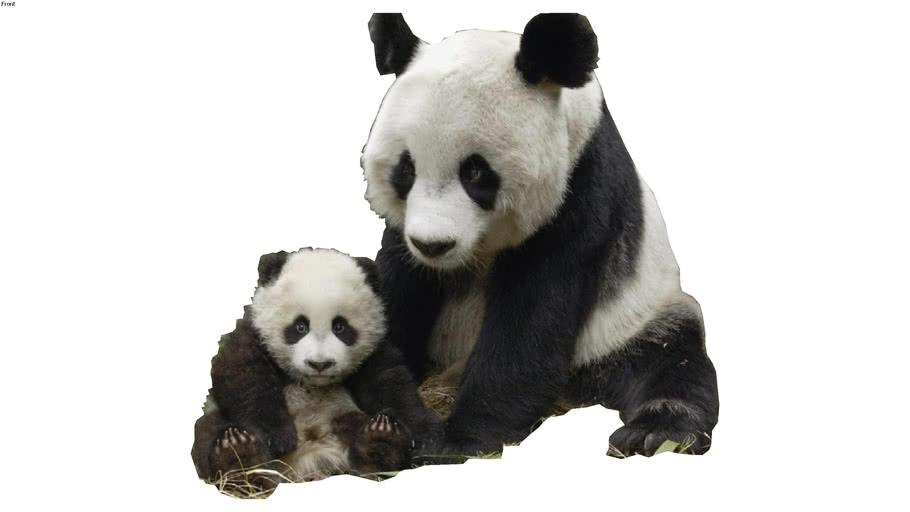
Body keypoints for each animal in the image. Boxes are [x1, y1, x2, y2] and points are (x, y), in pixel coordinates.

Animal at [191, 248, 440, 487]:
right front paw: (276, 436)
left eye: (340, 326)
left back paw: (382, 441)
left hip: (341, 416)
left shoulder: (374, 350)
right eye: (300, 326)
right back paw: (238, 455)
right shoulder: (252, 333)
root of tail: (308, 462)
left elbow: (390, 382)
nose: (319, 364)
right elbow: (243, 374)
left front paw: (425, 436)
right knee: (207, 432)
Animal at [359, 13, 720, 457]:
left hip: (634, 319)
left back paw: (654, 432)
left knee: (672, 360)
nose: (433, 245)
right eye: (406, 169)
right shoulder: (404, 232)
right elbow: (398, 287)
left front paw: (461, 440)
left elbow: (532, 317)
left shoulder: (580, 191)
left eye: (474, 171)